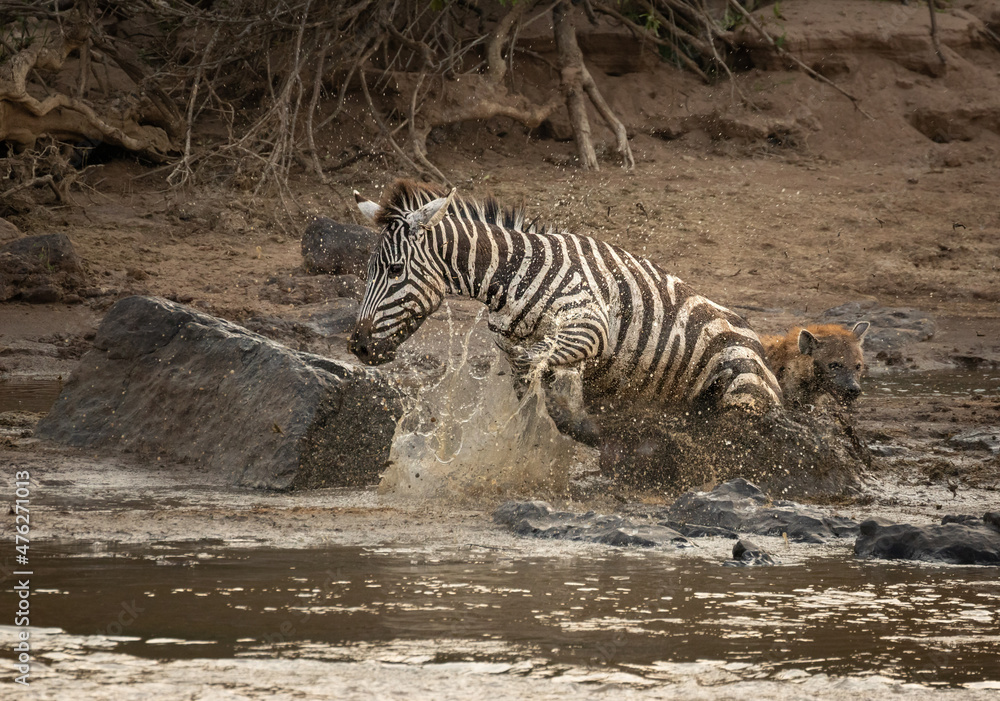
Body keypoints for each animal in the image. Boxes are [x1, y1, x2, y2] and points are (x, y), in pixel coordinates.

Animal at [349, 180, 782, 445]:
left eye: (394, 270)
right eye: (368, 272)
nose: (358, 347)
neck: (511, 274)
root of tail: (762, 347)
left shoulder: (588, 328)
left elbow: (536, 367)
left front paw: (582, 426)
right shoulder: (514, 349)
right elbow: (530, 385)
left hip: (741, 385)